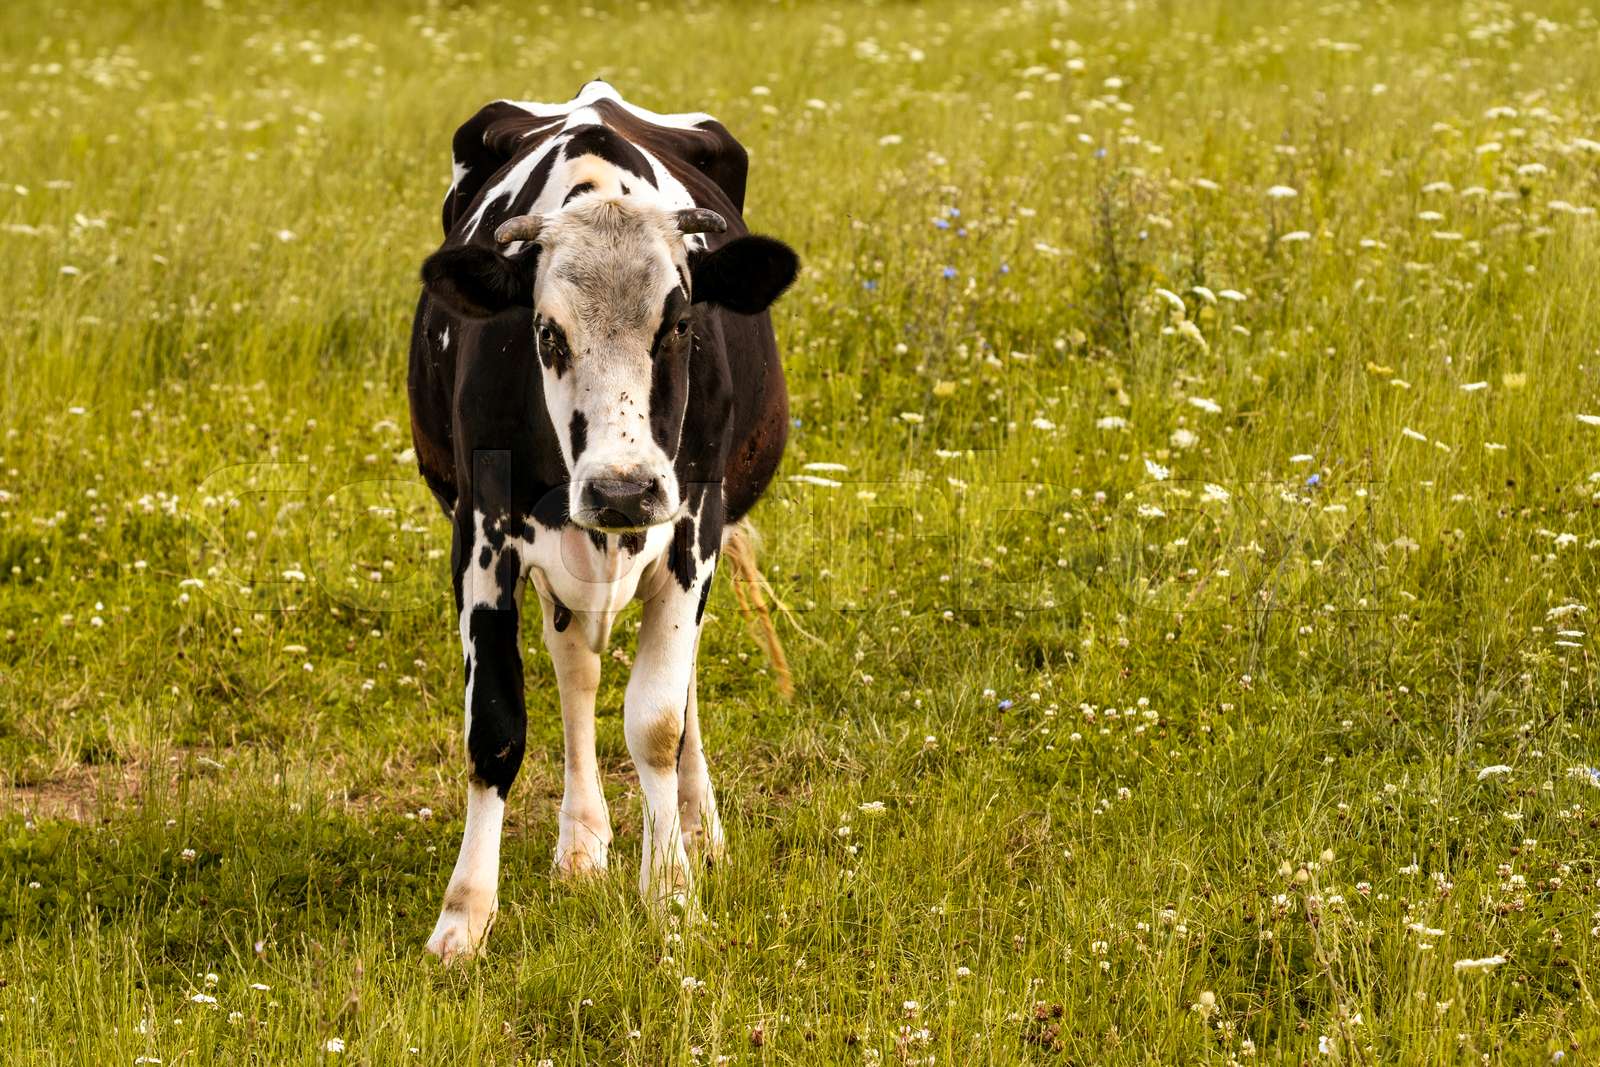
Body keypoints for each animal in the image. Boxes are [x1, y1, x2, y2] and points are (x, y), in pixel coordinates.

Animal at [407, 80, 799, 961]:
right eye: (546, 331)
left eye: (679, 324)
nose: (623, 489)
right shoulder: (481, 537)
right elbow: (495, 726)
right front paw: (464, 916)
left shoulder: (693, 526)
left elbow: (657, 721)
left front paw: (673, 893)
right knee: (576, 669)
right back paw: (582, 837)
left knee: (678, 694)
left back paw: (699, 825)